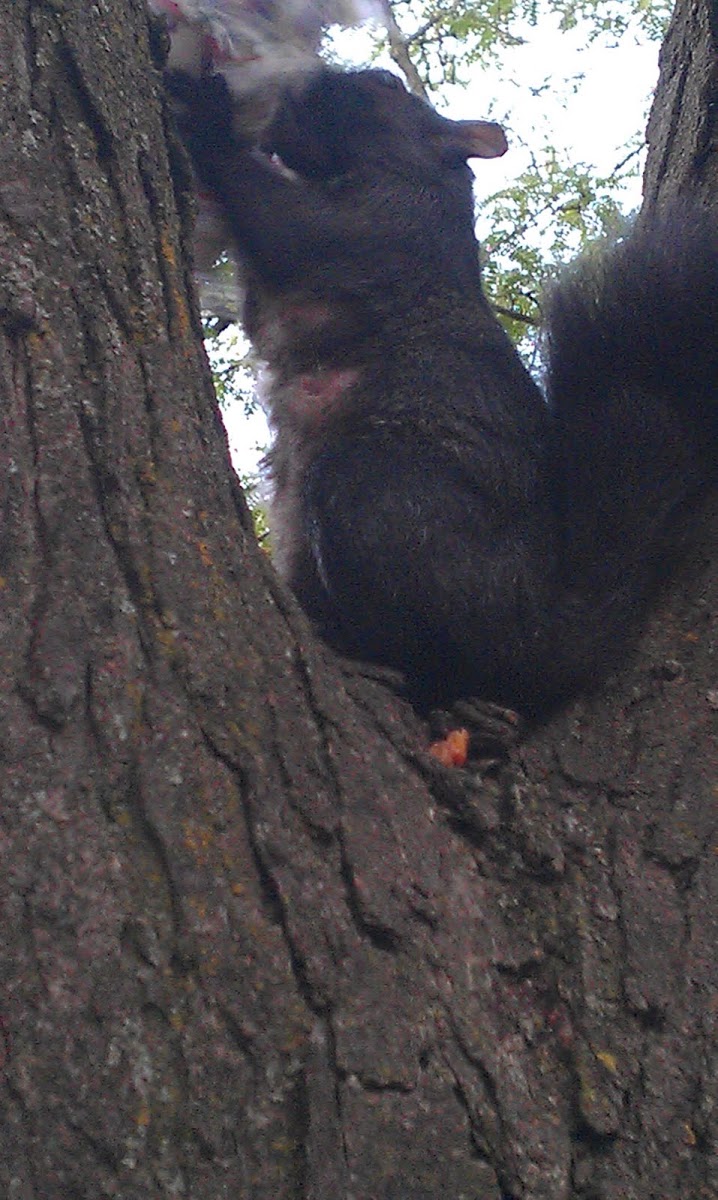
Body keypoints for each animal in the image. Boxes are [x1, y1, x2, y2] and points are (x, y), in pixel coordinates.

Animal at [167, 66, 718, 715]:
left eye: (384, 83)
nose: (302, 80)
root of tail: (549, 631)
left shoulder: (390, 226)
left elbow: (290, 225)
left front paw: (207, 114)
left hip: (385, 500)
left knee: (451, 657)